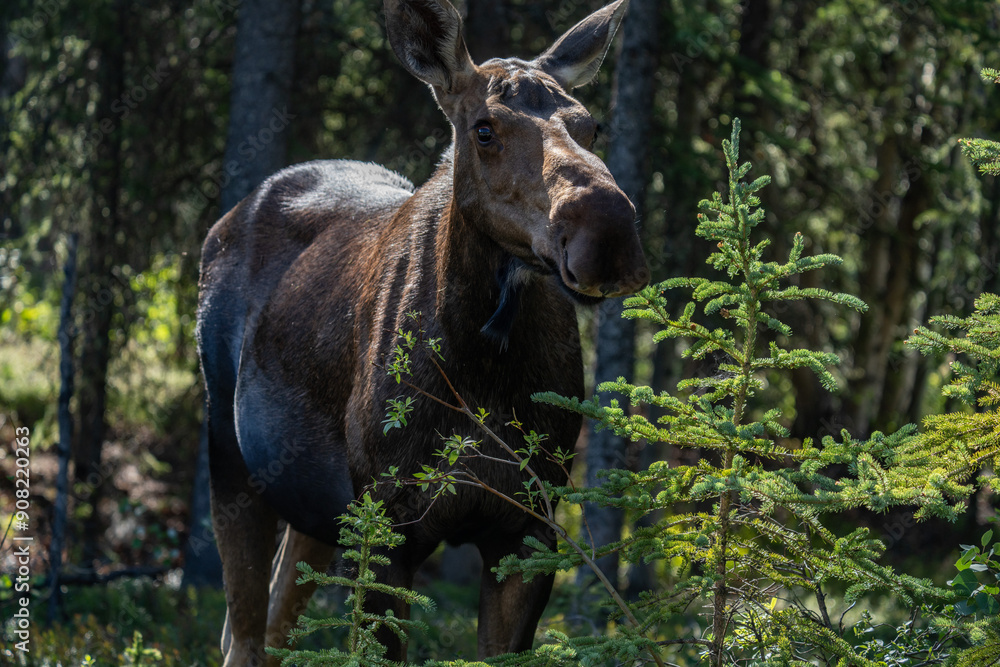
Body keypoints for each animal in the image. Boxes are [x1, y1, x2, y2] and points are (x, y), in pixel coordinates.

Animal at [195, 0, 648, 663]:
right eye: (484, 129)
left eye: (592, 127)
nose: (608, 235)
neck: (485, 362)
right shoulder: (391, 525)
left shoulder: (530, 530)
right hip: (230, 457)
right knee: (244, 636)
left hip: (316, 510)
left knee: (273, 624)